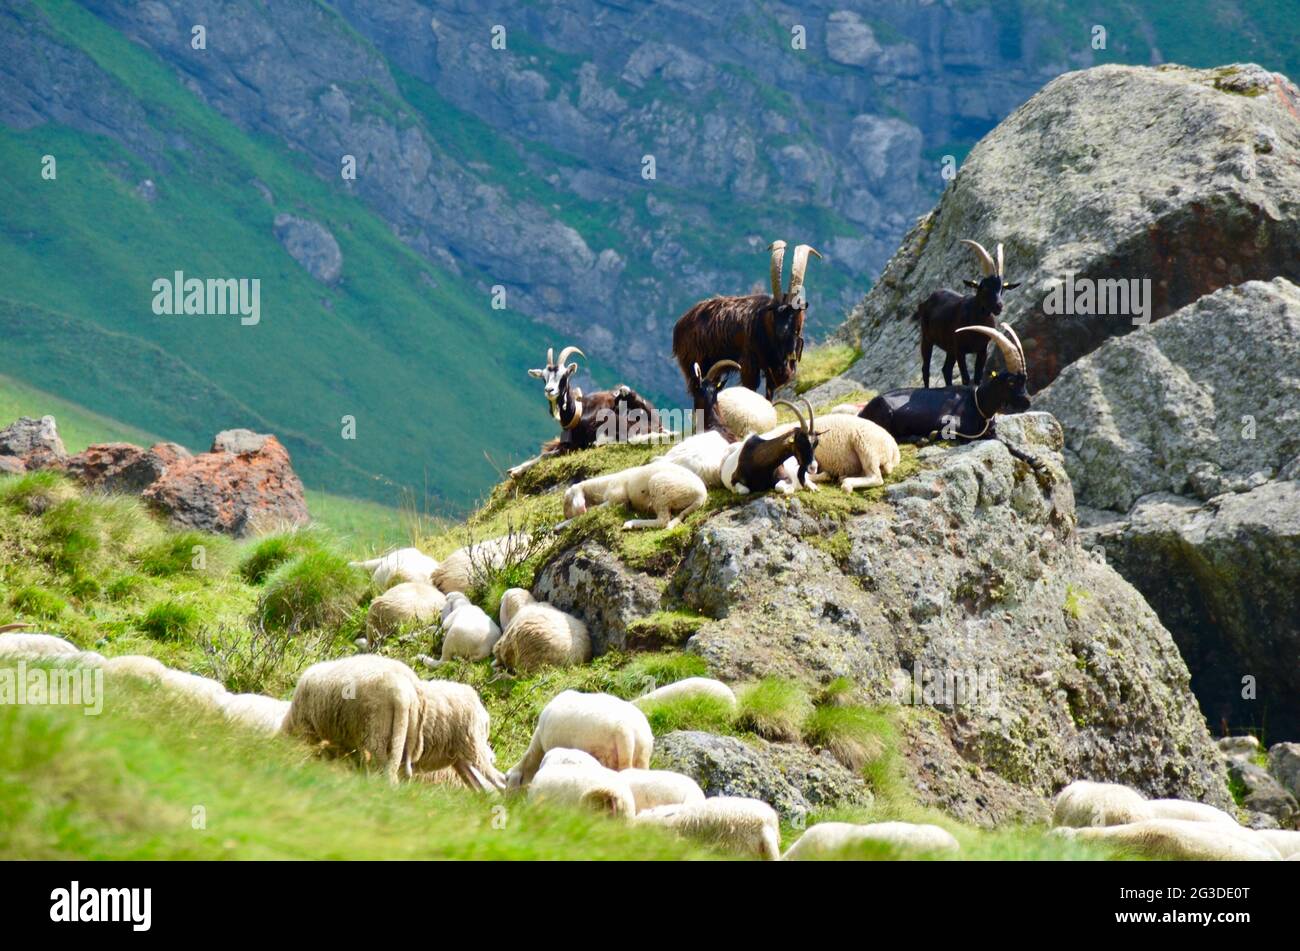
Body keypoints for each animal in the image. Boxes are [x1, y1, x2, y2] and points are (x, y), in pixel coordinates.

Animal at [282, 655, 425, 785]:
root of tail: (402, 695)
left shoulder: (308, 729)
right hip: (411, 734)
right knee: (404, 769)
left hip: (376, 732)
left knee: (382, 766)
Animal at [509, 346, 669, 478]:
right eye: (543, 377)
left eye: (564, 375)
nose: (549, 390)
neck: (578, 411)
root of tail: (659, 423)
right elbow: (545, 452)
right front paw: (514, 469)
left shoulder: (574, 445)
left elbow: (546, 455)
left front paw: (516, 471)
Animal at [563, 461, 707, 530]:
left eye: (568, 501)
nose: (566, 515)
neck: (603, 486)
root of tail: (702, 495)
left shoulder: (617, 497)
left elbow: (596, 509)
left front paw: (564, 523)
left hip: (660, 485)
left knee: (663, 521)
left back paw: (631, 523)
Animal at [673, 241, 820, 400]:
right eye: (775, 312)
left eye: (794, 311)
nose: (781, 331)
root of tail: (680, 324)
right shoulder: (750, 363)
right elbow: (751, 387)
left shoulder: (776, 368)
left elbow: (770, 393)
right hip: (695, 364)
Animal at [914, 238, 1021, 387]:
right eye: (984, 287)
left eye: (1002, 289)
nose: (999, 306)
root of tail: (926, 301)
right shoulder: (960, 349)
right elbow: (965, 378)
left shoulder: (982, 350)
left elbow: (977, 378)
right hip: (927, 339)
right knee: (926, 369)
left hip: (949, 348)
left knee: (946, 369)